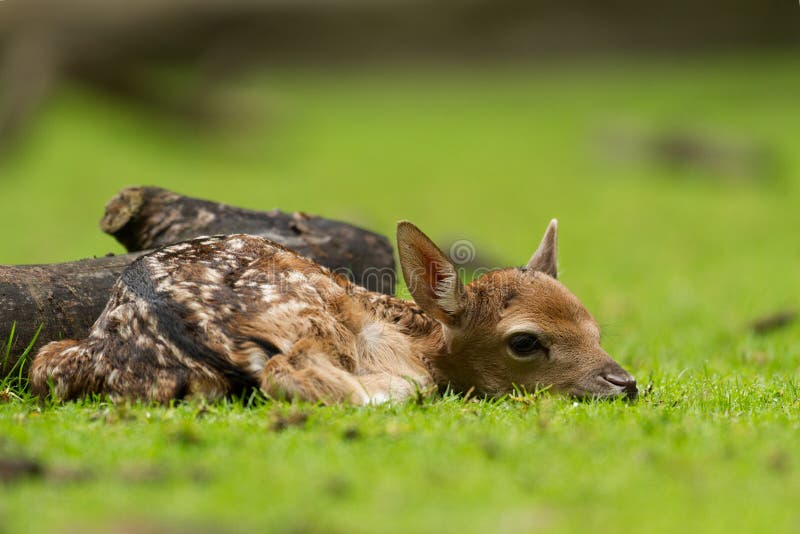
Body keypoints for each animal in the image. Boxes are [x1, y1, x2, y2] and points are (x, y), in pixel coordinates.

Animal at [30, 219, 637, 404]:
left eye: (596, 330)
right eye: (525, 341)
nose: (626, 382)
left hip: (55, 357)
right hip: (312, 316)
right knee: (291, 374)